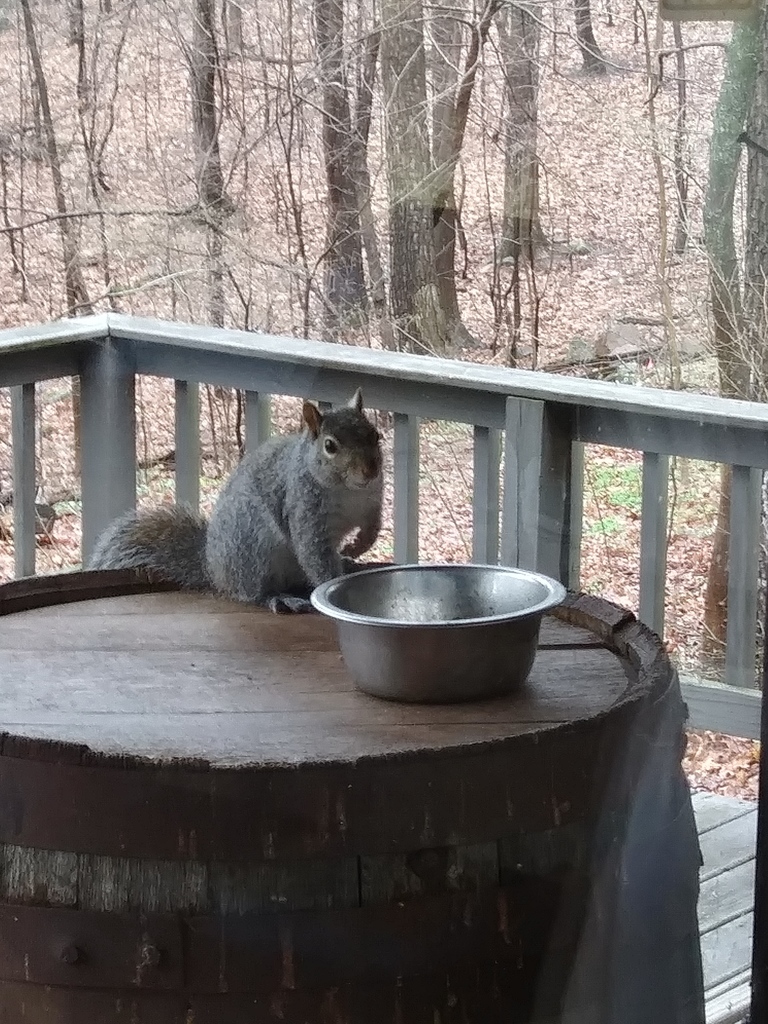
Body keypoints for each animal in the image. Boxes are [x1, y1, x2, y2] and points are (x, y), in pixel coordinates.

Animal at [88, 389, 383, 613]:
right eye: (330, 446)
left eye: (375, 434)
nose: (370, 470)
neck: (348, 491)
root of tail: (212, 567)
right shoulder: (303, 509)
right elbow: (314, 553)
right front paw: (334, 582)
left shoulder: (371, 501)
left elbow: (373, 525)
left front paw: (358, 545)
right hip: (252, 549)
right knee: (252, 592)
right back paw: (279, 598)